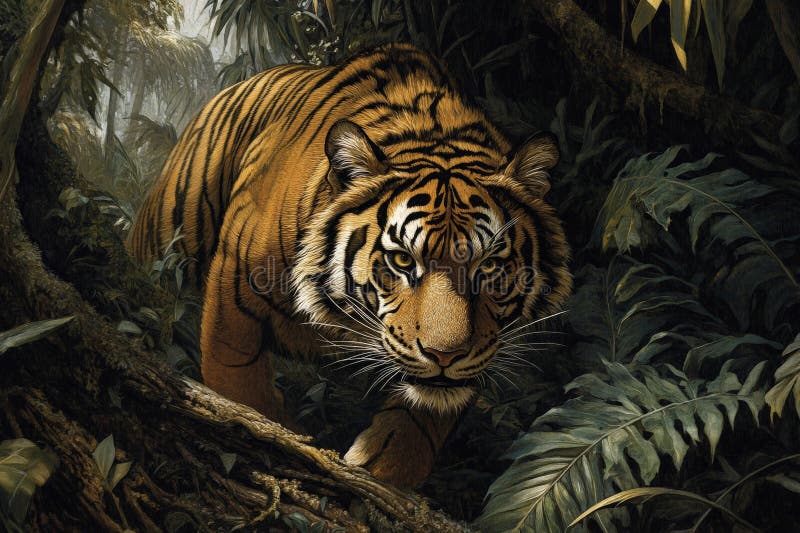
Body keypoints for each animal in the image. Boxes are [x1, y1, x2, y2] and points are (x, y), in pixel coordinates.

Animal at [128, 43, 572, 488]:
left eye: (490, 264)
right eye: (402, 260)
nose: (444, 355)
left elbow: (423, 418)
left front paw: (383, 467)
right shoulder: (235, 290)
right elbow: (238, 382)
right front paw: (273, 437)